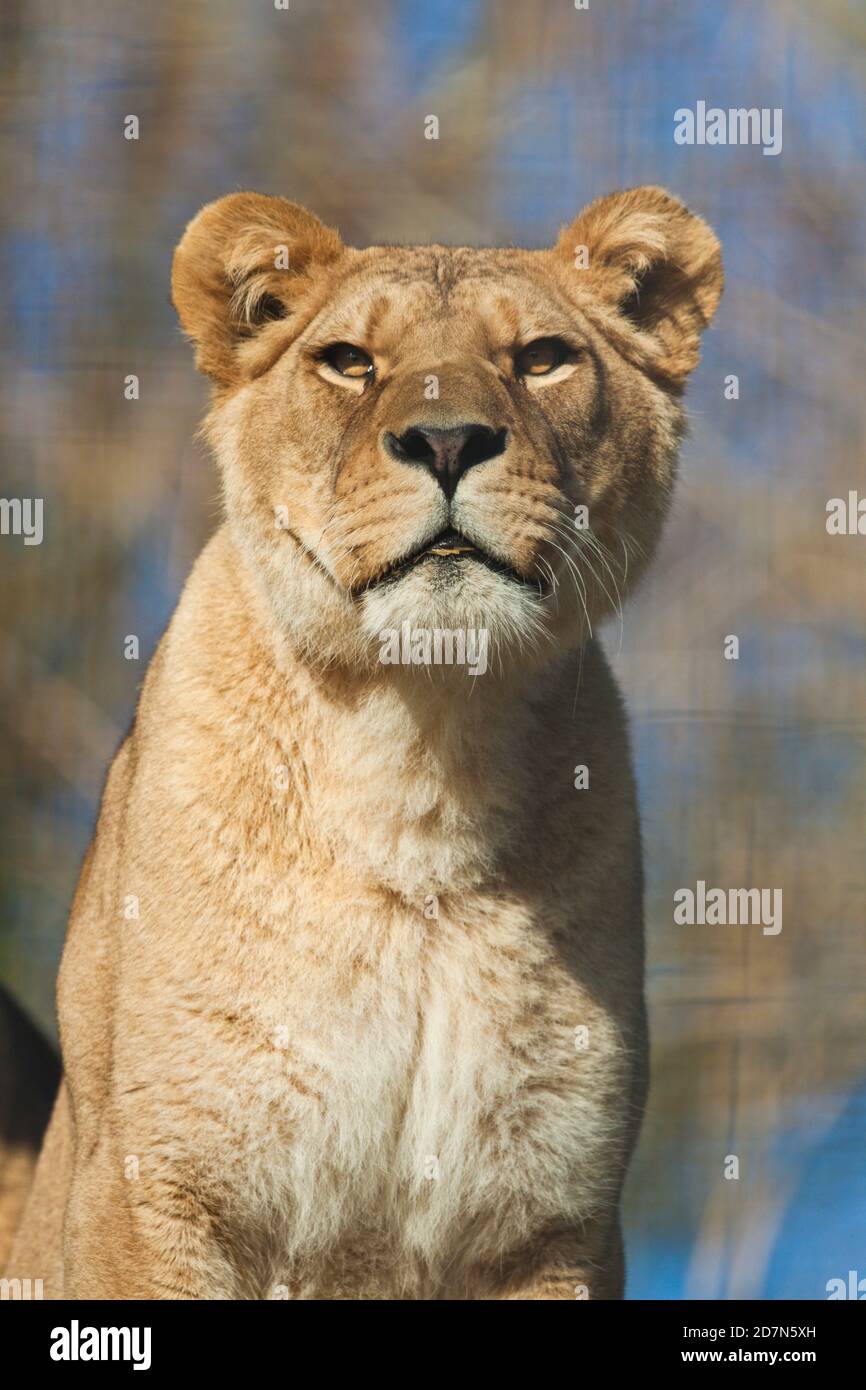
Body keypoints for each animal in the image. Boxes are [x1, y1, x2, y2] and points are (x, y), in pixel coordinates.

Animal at [5, 186, 722, 1299]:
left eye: (542, 358)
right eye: (348, 361)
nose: (447, 441)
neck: (422, 757)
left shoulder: (549, 1225)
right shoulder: (153, 1187)